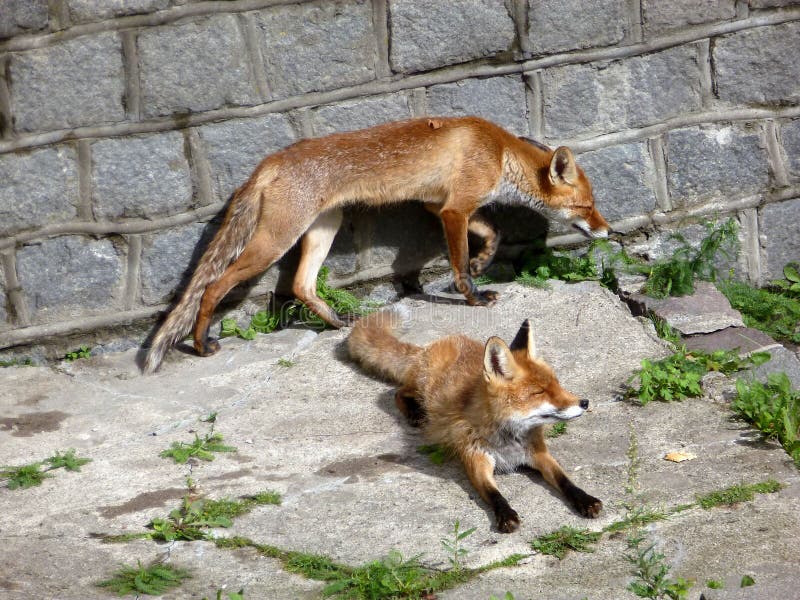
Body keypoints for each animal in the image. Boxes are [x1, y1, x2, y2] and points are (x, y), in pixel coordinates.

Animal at [143, 116, 610, 373]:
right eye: (588, 206)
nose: (607, 231)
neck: (497, 151)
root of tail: (270, 161)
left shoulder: (437, 204)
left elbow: (491, 234)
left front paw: (482, 264)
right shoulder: (454, 210)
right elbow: (458, 261)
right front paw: (473, 295)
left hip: (324, 228)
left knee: (300, 285)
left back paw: (337, 323)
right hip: (275, 240)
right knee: (212, 287)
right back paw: (201, 343)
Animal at [347, 306, 603, 533]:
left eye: (557, 384)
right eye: (540, 392)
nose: (585, 402)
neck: (508, 438)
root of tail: (441, 341)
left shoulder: (539, 454)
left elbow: (565, 481)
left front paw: (585, 500)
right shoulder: (476, 459)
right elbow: (493, 493)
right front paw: (506, 515)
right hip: (421, 385)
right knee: (398, 392)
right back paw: (415, 414)